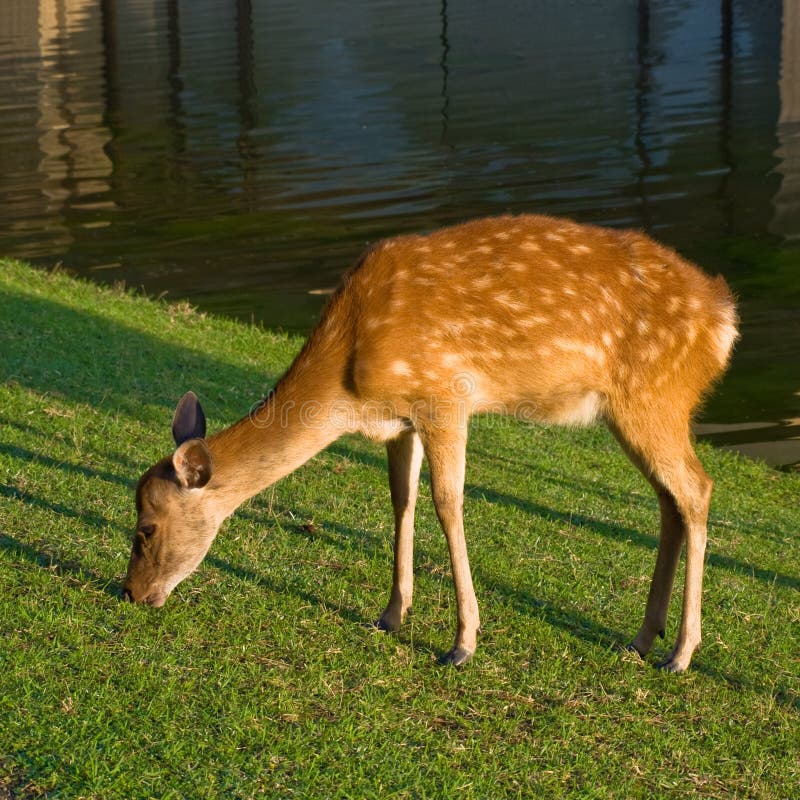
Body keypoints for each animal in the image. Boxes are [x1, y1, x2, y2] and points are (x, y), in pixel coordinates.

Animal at [123, 214, 738, 671]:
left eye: (145, 527)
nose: (131, 593)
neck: (348, 379)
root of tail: (724, 319)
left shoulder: (446, 395)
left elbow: (447, 503)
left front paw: (462, 642)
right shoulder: (399, 422)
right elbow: (402, 500)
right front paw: (391, 614)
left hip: (654, 396)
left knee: (697, 489)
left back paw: (681, 653)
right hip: (636, 409)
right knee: (669, 501)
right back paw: (642, 638)